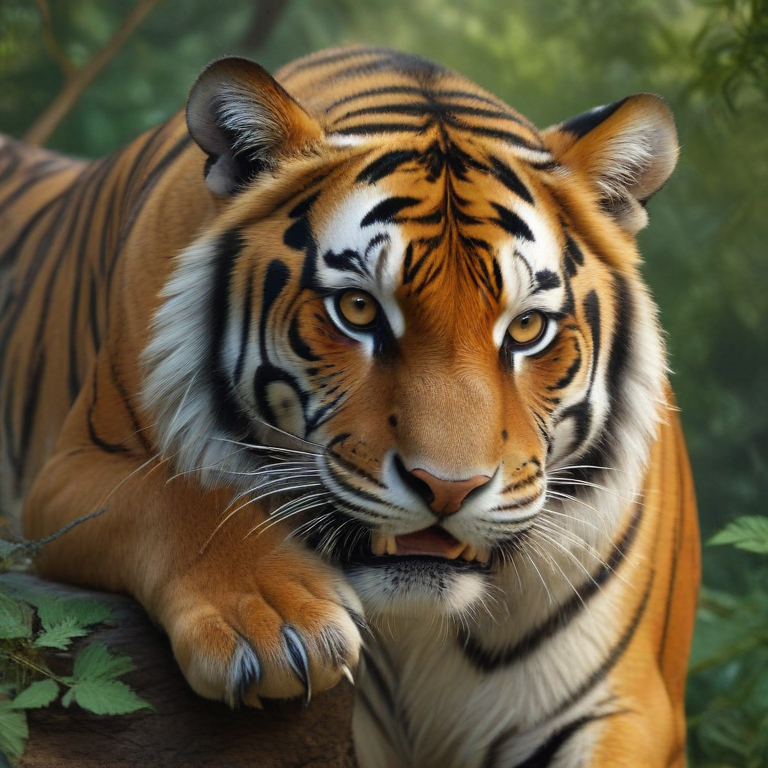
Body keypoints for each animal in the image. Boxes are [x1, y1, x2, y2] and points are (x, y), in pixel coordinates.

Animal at [0, 47, 700, 767]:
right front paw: (274, 623)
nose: (448, 489)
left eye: (528, 327)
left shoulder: (625, 705)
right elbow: (178, 496)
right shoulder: (72, 470)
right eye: (359, 309)